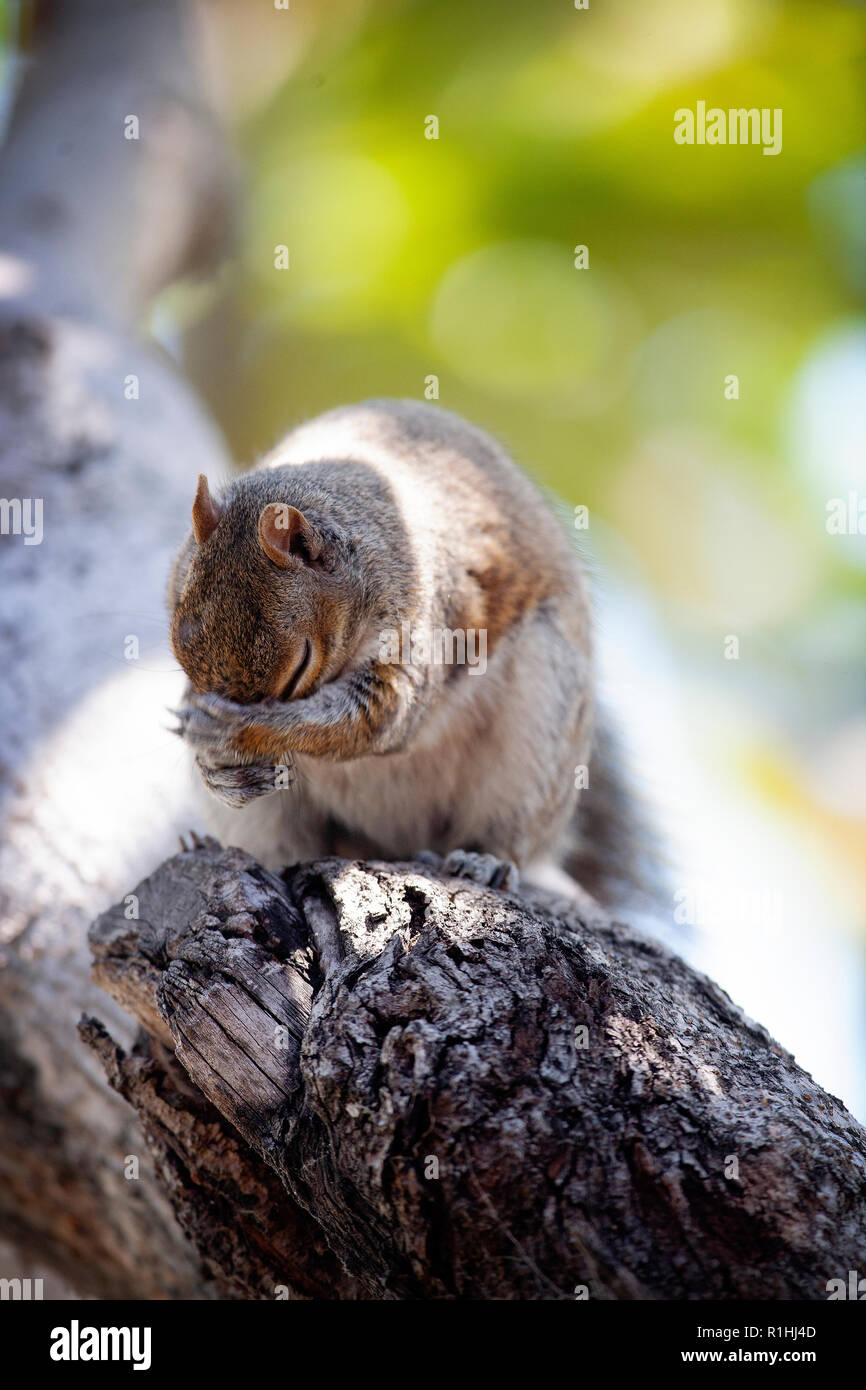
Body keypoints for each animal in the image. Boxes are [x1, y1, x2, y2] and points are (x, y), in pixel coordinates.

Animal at [169, 399, 645, 907]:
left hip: (541, 726)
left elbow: (380, 713)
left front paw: (241, 729)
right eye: (180, 656)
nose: (232, 762)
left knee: (508, 832)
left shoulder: (417, 615)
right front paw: (210, 763)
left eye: (300, 665)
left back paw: (486, 860)